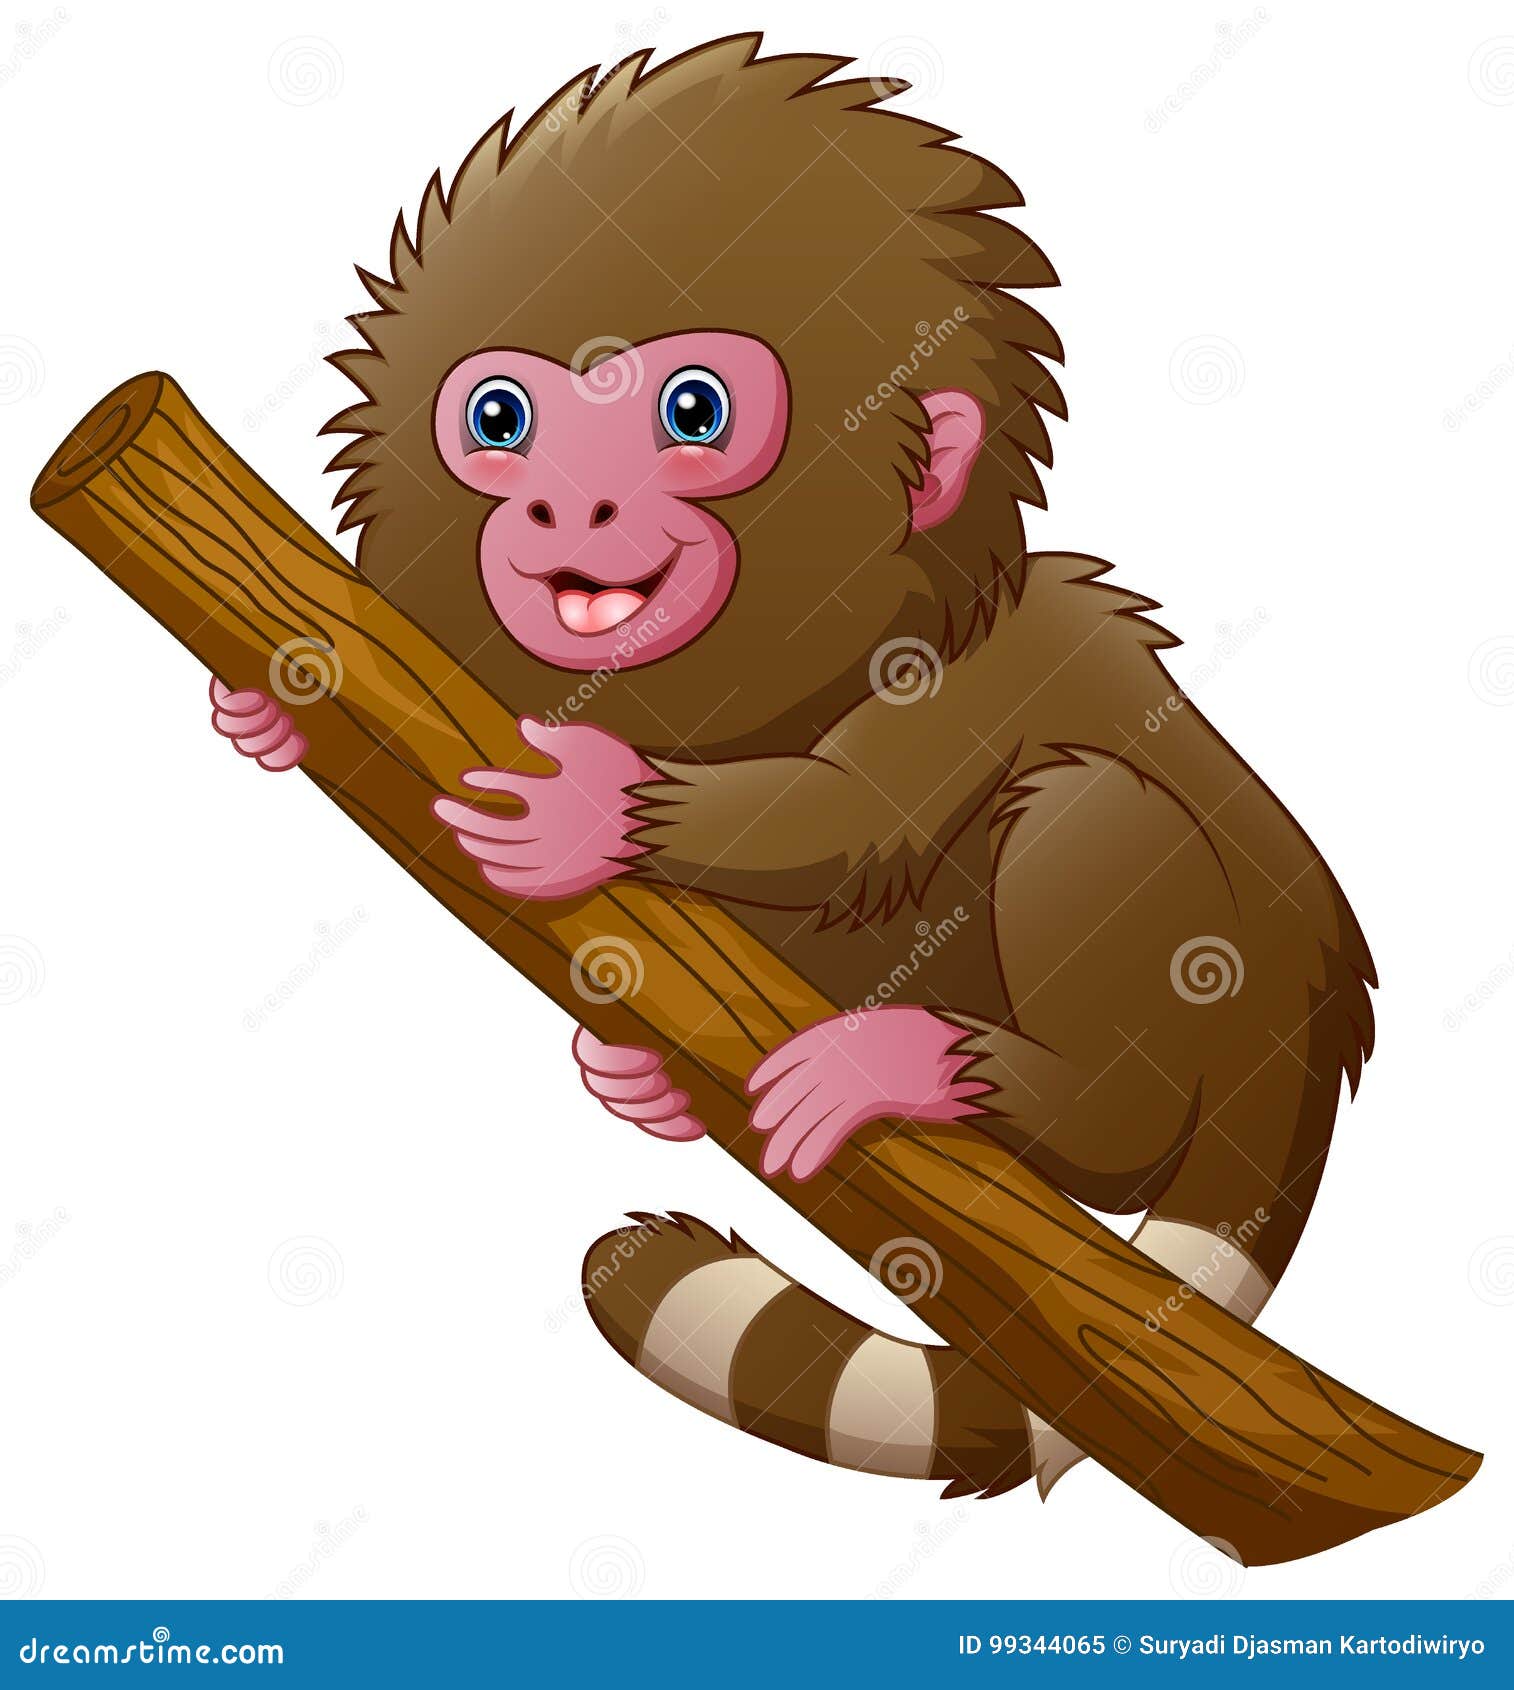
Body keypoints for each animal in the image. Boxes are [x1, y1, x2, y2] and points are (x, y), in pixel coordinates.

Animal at [209, 37, 1374, 1501]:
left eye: (692, 411)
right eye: (500, 415)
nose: (563, 505)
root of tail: (1307, 1019)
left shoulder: (961, 670)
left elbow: (857, 812)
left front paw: (598, 807)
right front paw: (264, 716)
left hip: (1198, 984)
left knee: (1091, 822)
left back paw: (946, 1074)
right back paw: (649, 1079)